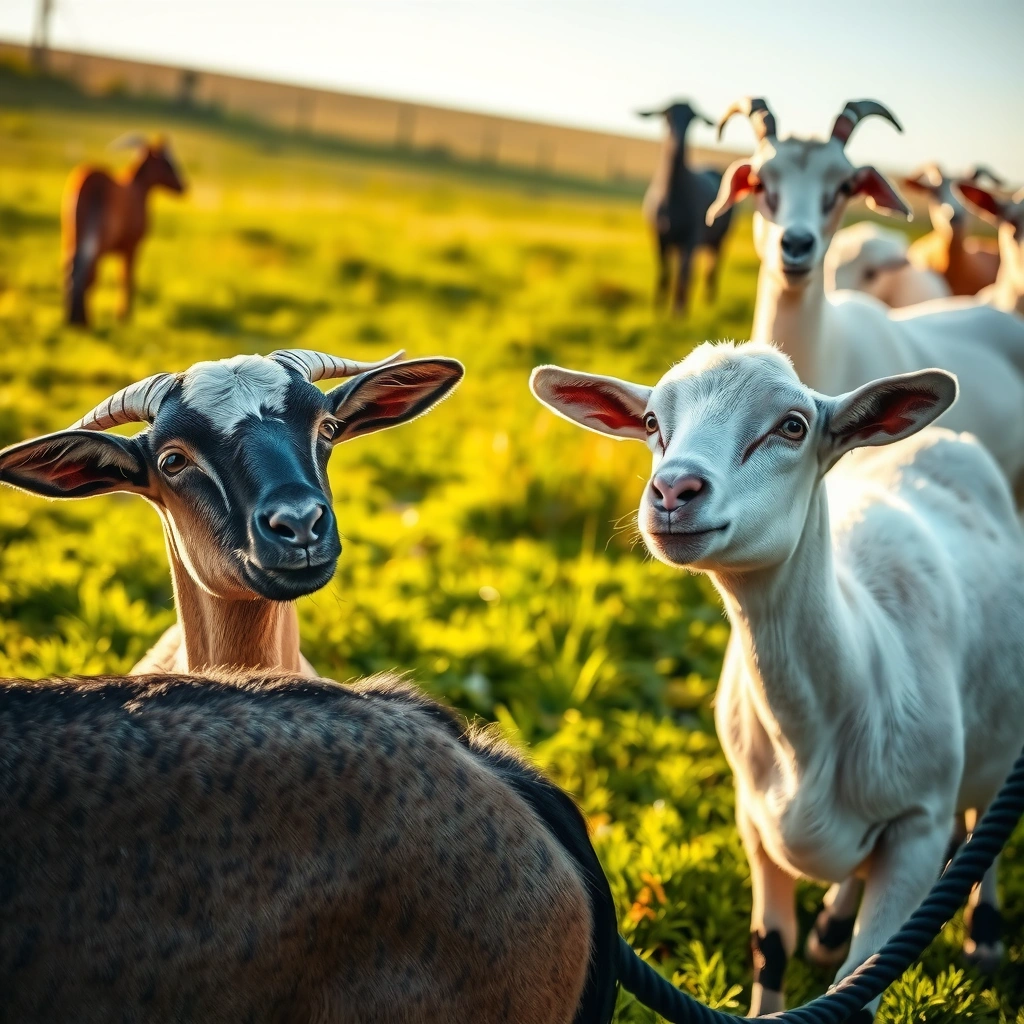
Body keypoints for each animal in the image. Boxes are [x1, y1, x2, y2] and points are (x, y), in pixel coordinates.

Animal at [62, 134, 187, 326]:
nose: (184, 186)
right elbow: (127, 276)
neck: (138, 188)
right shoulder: (132, 246)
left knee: (71, 266)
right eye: (167, 162)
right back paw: (83, 320)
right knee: (90, 271)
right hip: (99, 241)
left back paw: (73, 317)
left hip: (71, 234)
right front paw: (124, 315)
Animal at [531, 340, 1024, 1019]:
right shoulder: (753, 818)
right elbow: (773, 943)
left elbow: (860, 981)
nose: (672, 489)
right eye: (653, 423)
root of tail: (944, 438)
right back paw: (832, 926)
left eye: (793, 426)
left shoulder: (918, 828)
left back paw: (986, 935)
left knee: (984, 827)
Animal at [639, 102, 734, 314]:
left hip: (719, 238)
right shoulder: (659, 236)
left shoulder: (692, 236)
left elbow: (684, 271)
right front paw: (658, 307)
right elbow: (664, 271)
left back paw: (708, 300)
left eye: (692, 118)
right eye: (666, 116)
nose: (677, 142)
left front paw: (679, 309)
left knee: (710, 268)